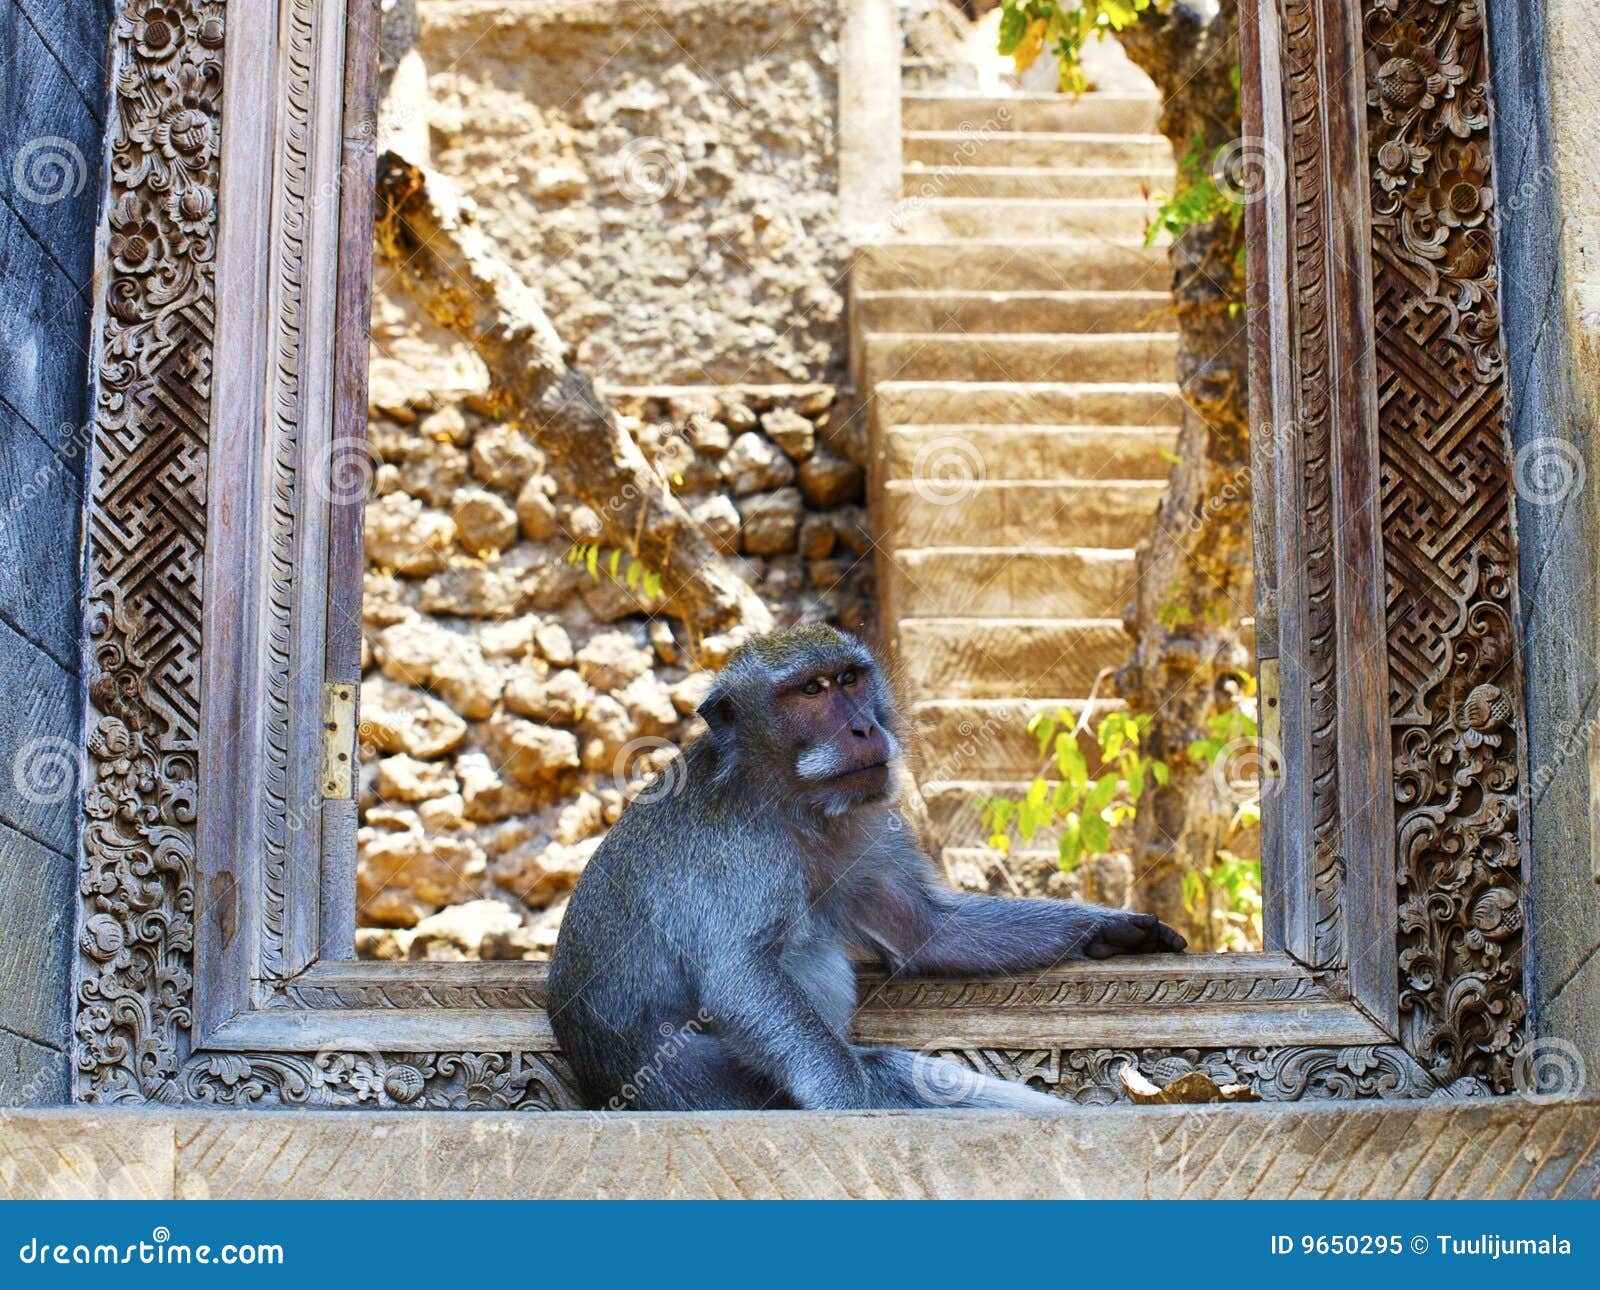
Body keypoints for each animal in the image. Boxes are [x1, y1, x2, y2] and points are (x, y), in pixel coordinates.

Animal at [548, 625, 1186, 1112]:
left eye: (849, 679)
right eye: (811, 690)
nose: (864, 727)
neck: (790, 802)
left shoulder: (866, 830)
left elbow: (929, 930)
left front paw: (1107, 927)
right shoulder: (733, 853)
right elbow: (741, 976)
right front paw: (852, 1104)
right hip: (711, 1085)